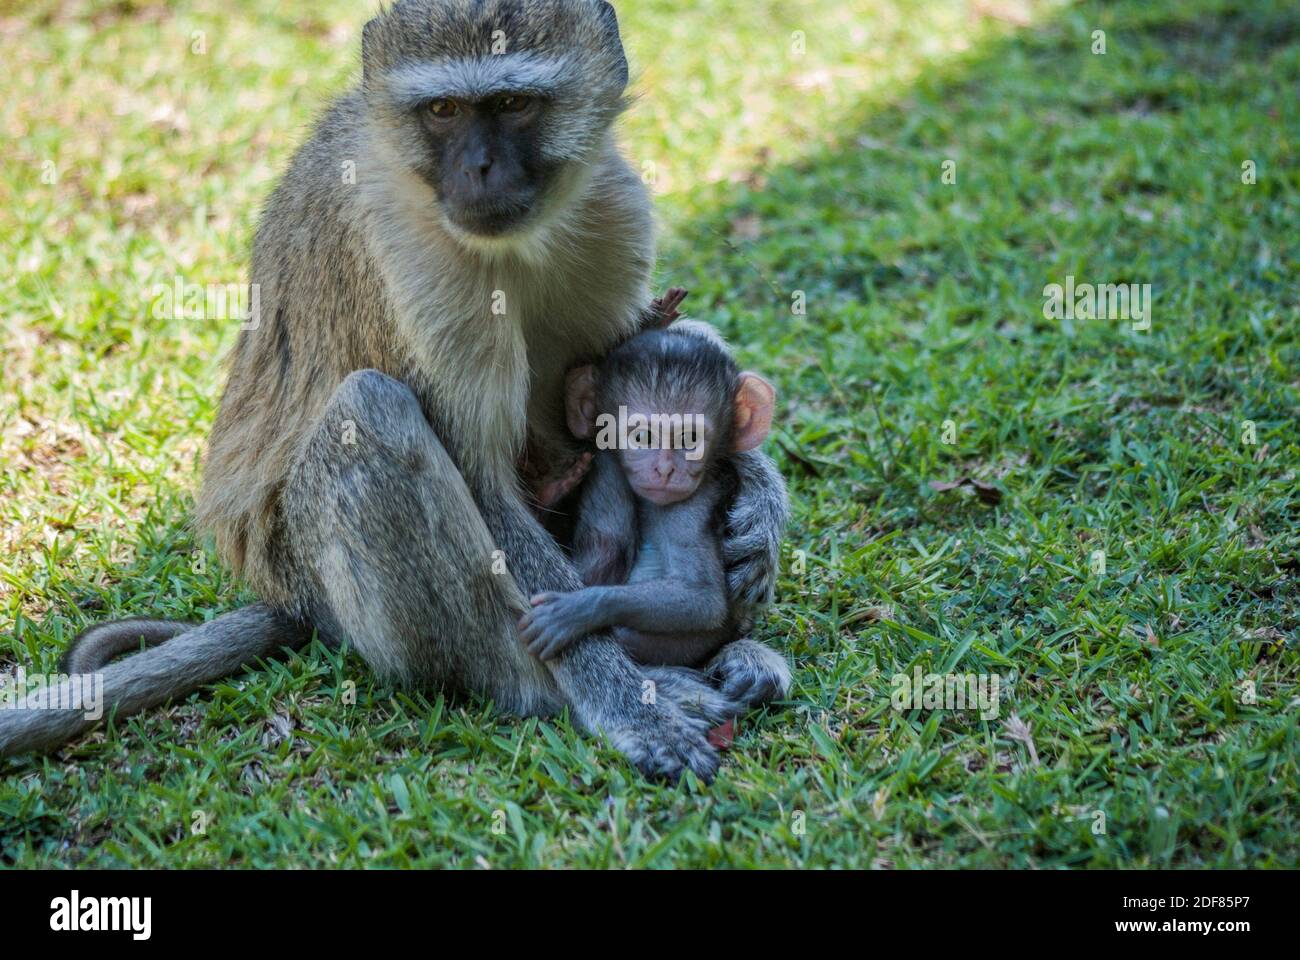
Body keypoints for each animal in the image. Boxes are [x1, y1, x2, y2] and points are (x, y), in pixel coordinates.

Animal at [519, 324, 776, 671]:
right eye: (642, 437)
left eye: (690, 439)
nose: (665, 469)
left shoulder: (686, 509)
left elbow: (702, 599)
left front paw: (576, 609)